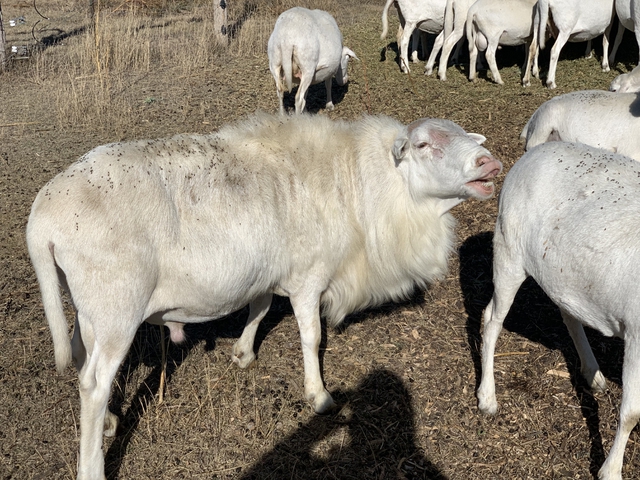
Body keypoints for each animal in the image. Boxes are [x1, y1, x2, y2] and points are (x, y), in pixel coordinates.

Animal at [27, 111, 501, 479]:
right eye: (422, 145)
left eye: (466, 136)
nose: (489, 162)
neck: (358, 186)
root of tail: (41, 221)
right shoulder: (310, 276)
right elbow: (311, 337)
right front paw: (319, 396)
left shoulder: (271, 270)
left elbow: (260, 306)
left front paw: (243, 353)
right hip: (116, 309)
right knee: (94, 382)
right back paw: (92, 465)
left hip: (89, 310)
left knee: (86, 364)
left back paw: (107, 420)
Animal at [477, 141, 640, 480]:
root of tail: (533, 153)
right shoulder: (637, 332)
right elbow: (632, 412)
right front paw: (610, 471)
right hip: (508, 249)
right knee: (491, 319)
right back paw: (487, 398)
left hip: (565, 273)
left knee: (568, 313)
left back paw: (593, 374)